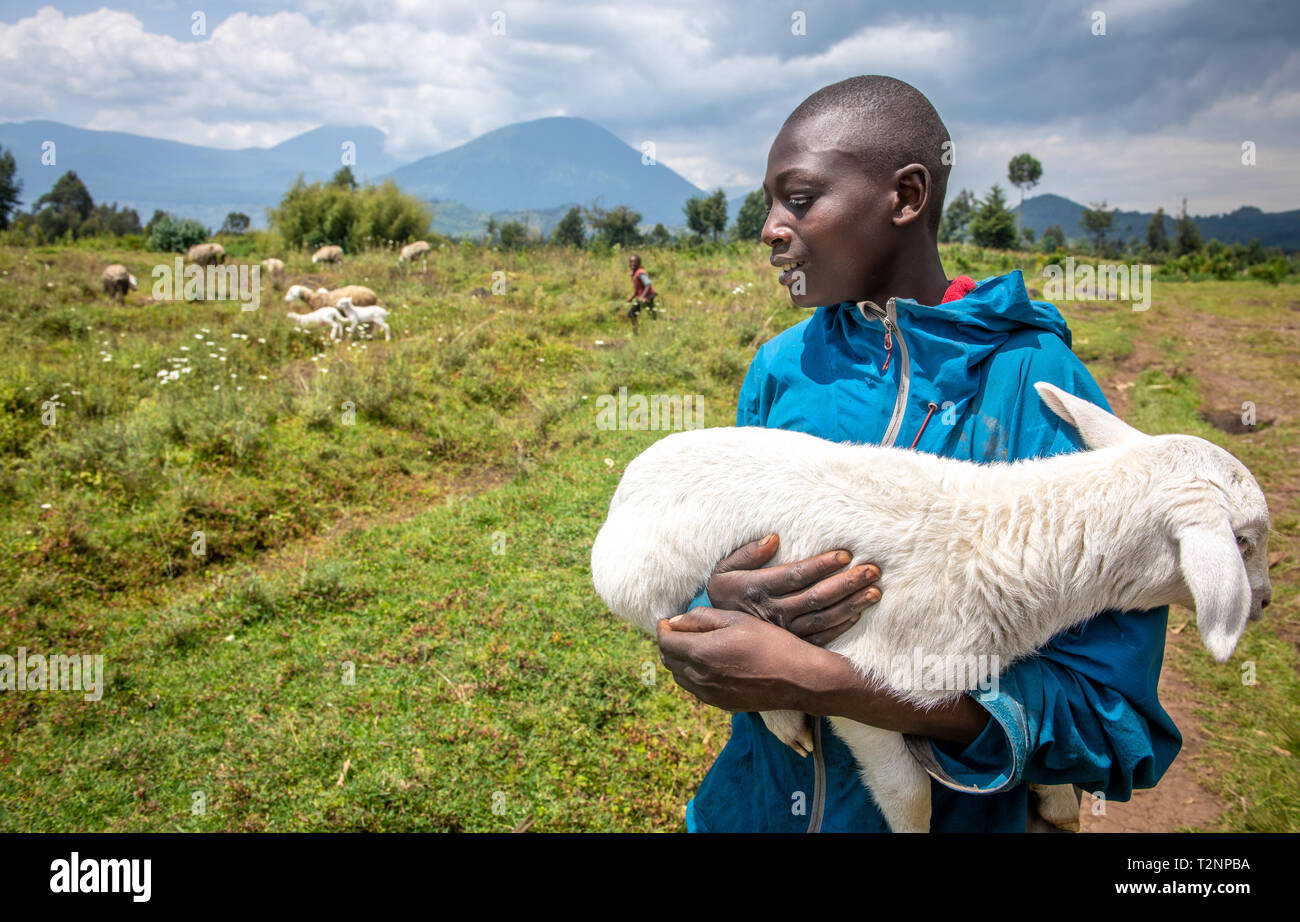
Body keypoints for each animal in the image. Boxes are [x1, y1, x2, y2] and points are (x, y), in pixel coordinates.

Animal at [590, 381, 1271, 833]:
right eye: (1242, 542)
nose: (1262, 600)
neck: (1006, 538)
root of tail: (629, 478)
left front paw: (1057, 799)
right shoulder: (869, 677)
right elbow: (910, 794)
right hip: (638, 583)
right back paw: (782, 715)